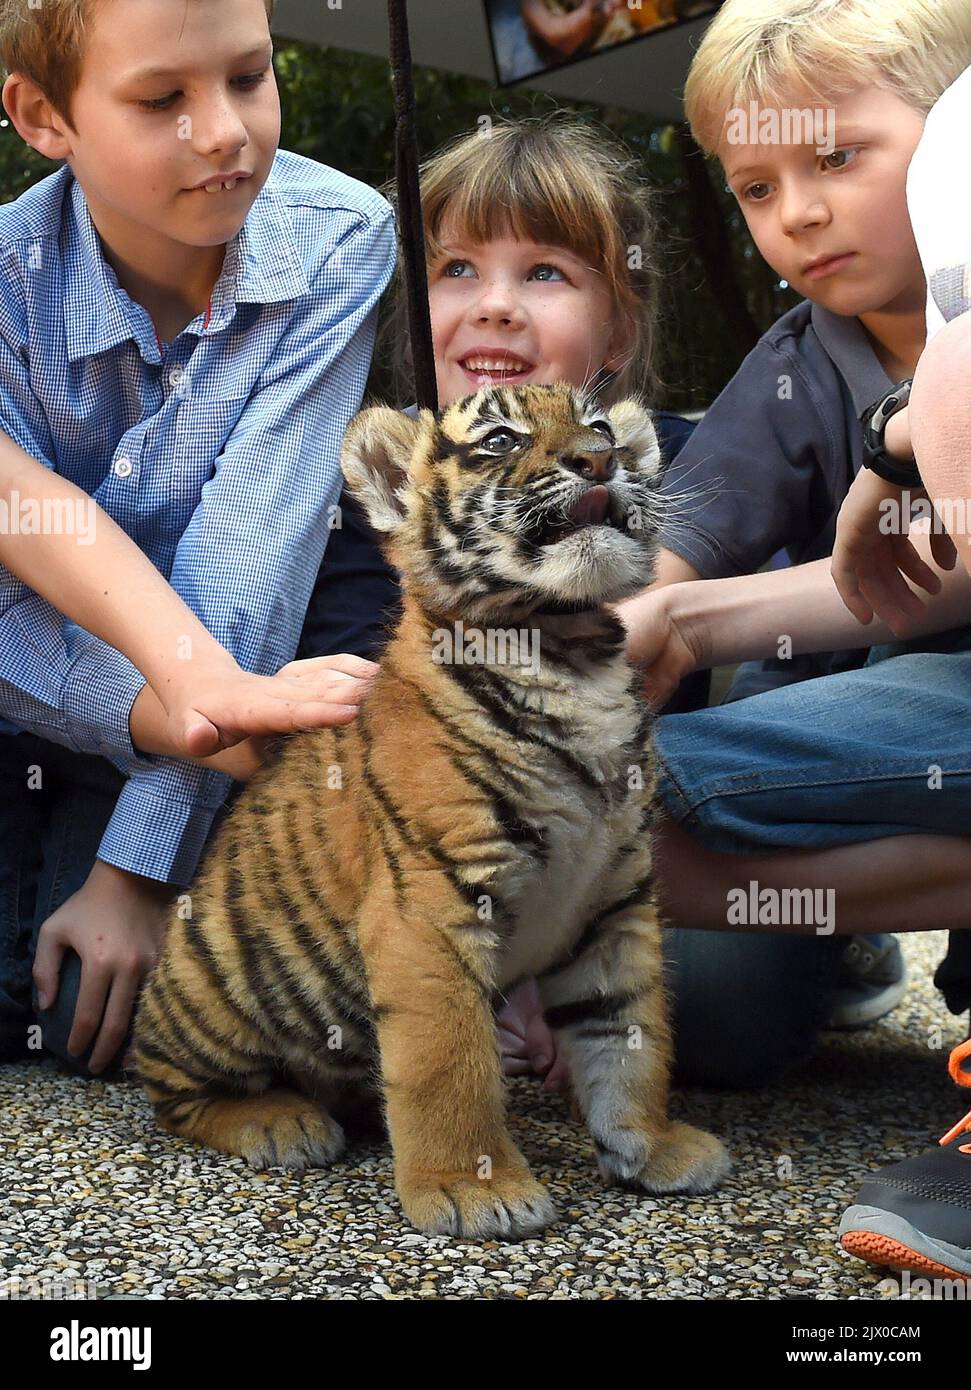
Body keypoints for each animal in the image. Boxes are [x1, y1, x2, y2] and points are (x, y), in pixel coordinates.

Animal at [132, 382, 730, 1240]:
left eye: (599, 427)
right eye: (500, 439)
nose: (598, 460)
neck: (565, 651)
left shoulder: (616, 902)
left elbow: (630, 1033)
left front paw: (651, 1146)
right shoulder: (430, 904)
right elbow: (451, 1061)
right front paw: (473, 1188)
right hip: (214, 991)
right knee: (172, 1090)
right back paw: (279, 1122)